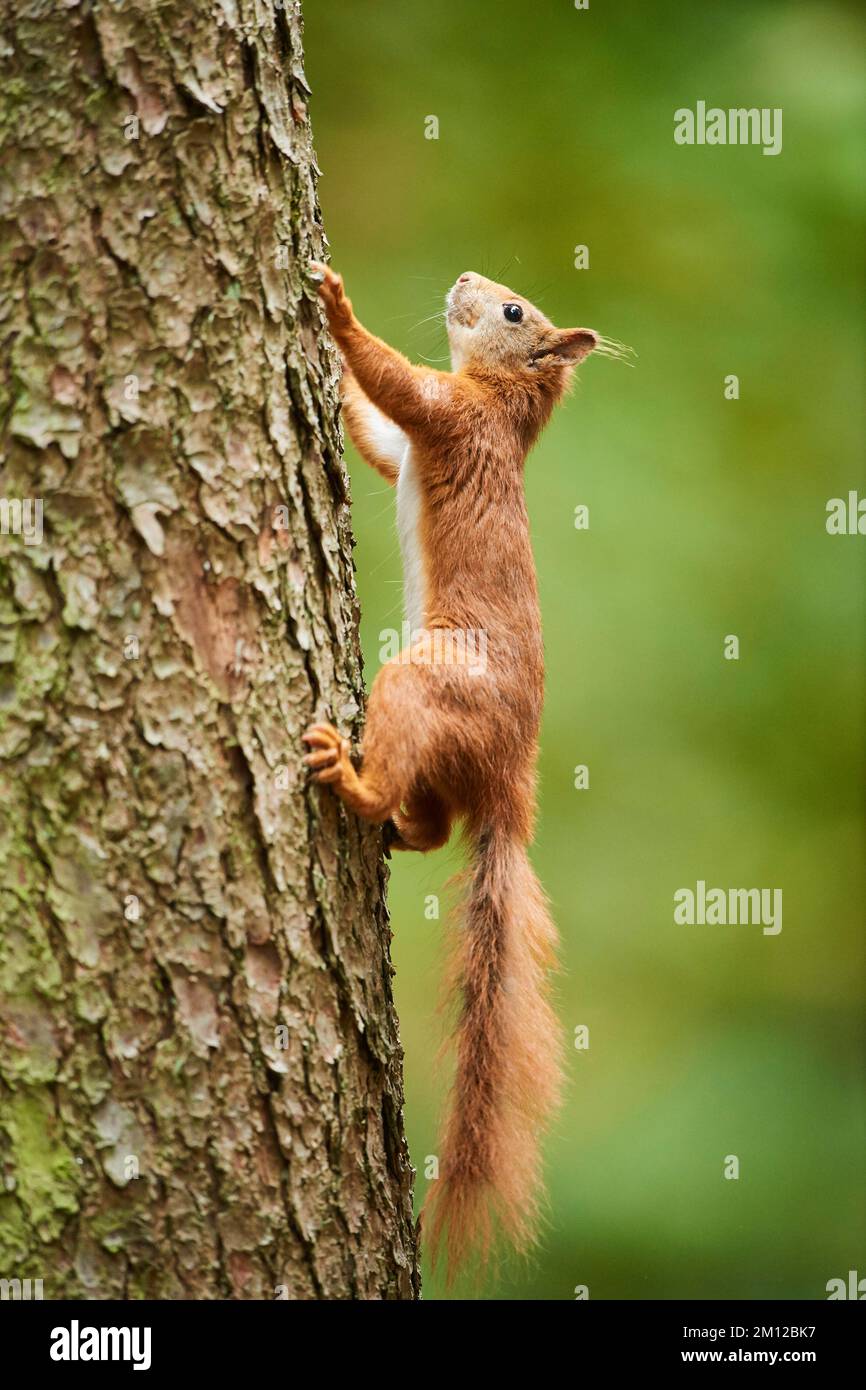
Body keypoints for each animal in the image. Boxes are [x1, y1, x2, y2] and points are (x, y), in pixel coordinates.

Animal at [304, 263, 598, 1279]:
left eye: (513, 311)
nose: (467, 276)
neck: (508, 409)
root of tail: (511, 787)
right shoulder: (420, 442)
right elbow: (378, 436)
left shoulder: (452, 417)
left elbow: (398, 387)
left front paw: (335, 307)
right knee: (435, 824)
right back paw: (399, 825)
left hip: (423, 686)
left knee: (399, 781)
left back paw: (354, 784)